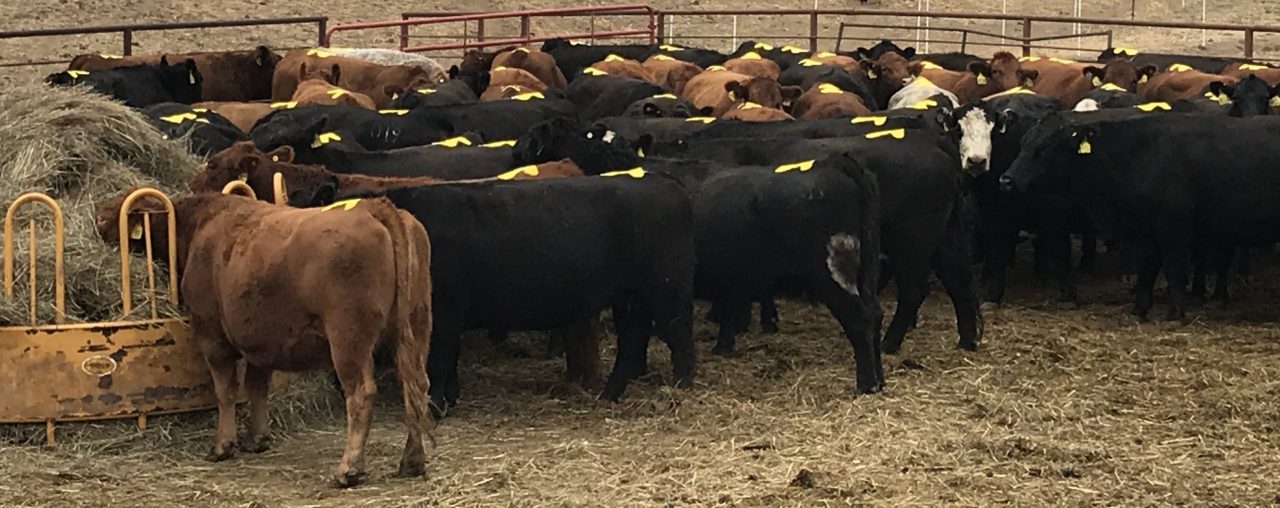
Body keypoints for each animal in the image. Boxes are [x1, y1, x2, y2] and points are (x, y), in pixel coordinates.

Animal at [96, 189, 433, 488]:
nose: (97, 218)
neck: (201, 226)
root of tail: (374, 206)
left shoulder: (211, 334)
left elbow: (226, 391)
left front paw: (223, 444)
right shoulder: (261, 339)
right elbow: (257, 386)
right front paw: (257, 438)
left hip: (348, 337)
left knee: (361, 393)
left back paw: (348, 469)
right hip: (417, 327)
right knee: (415, 384)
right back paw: (412, 461)